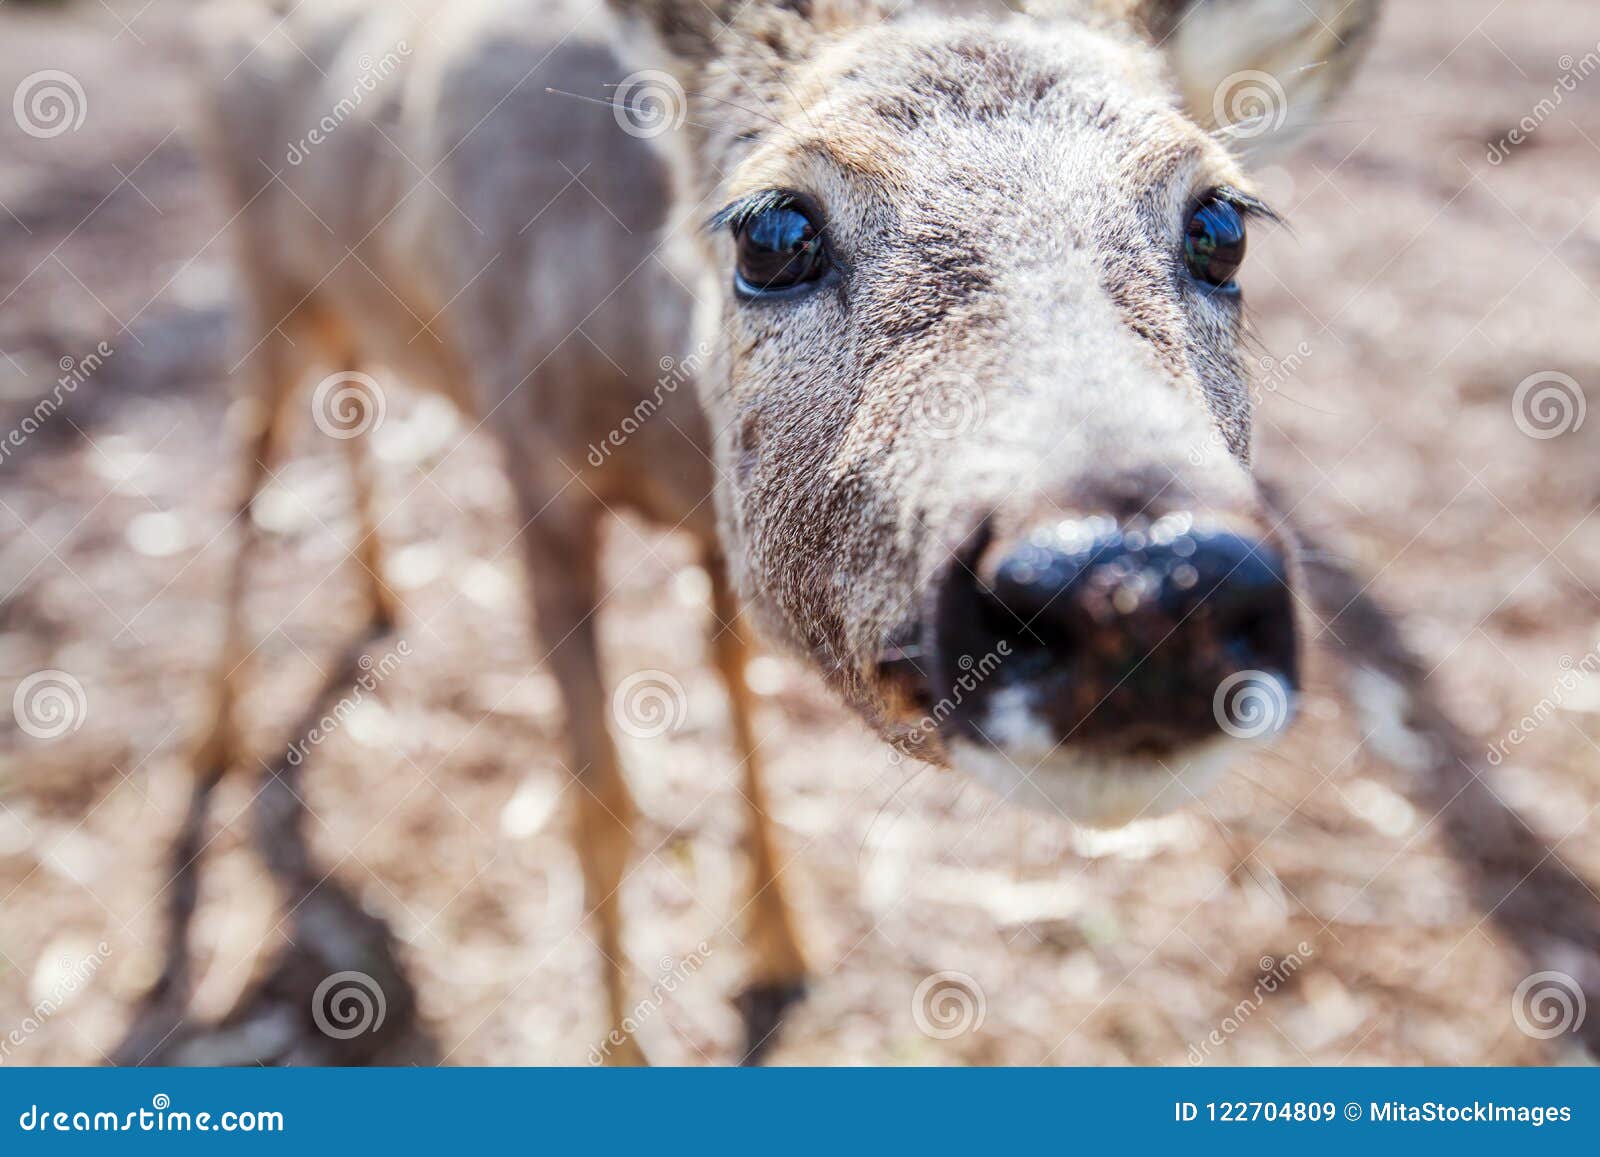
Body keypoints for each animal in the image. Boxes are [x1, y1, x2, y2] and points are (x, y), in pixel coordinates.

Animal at [169, 0, 1390, 1064]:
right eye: (773, 230)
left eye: (1221, 224)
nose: (1139, 578)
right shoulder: (532, 467)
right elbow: (601, 802)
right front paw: (624, 1051)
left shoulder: (714, 533)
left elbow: (739, 700)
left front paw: (780, 945)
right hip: (257, 274)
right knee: (247, 470)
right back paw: (215, 741)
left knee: (349, 408)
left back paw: (379, 596)